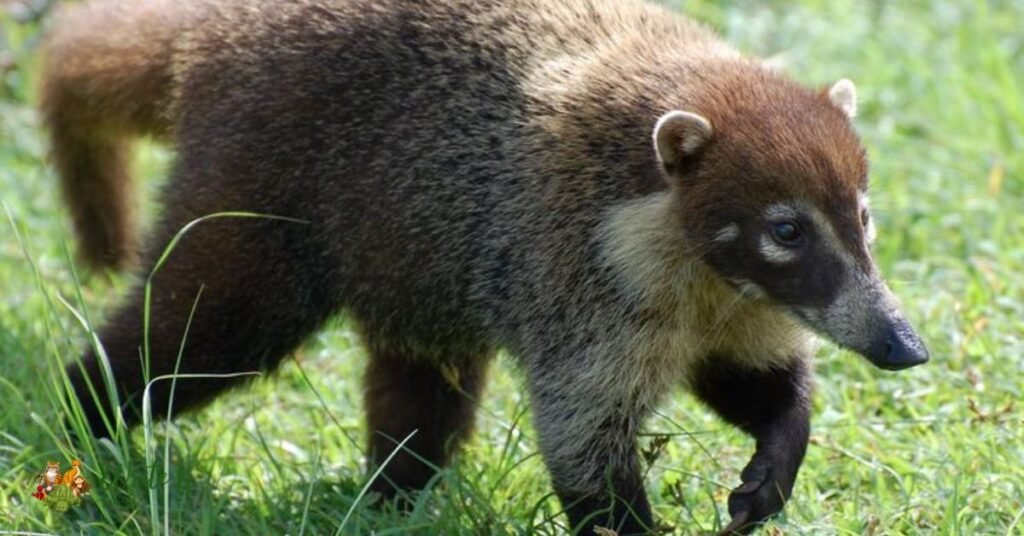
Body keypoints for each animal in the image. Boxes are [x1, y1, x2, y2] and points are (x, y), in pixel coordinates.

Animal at [39, 0, 928, 533]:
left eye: (862, 215)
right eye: (786, 230)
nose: (904, 346)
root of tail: (219, 30)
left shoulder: (736, 307)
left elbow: (758, 383)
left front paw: (777, 460)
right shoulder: (572, 271)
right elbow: (581, 435)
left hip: (416, 258)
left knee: (424, 383)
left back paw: (393, 490)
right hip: (258, 197)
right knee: (195, 333)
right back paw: (80, 408)